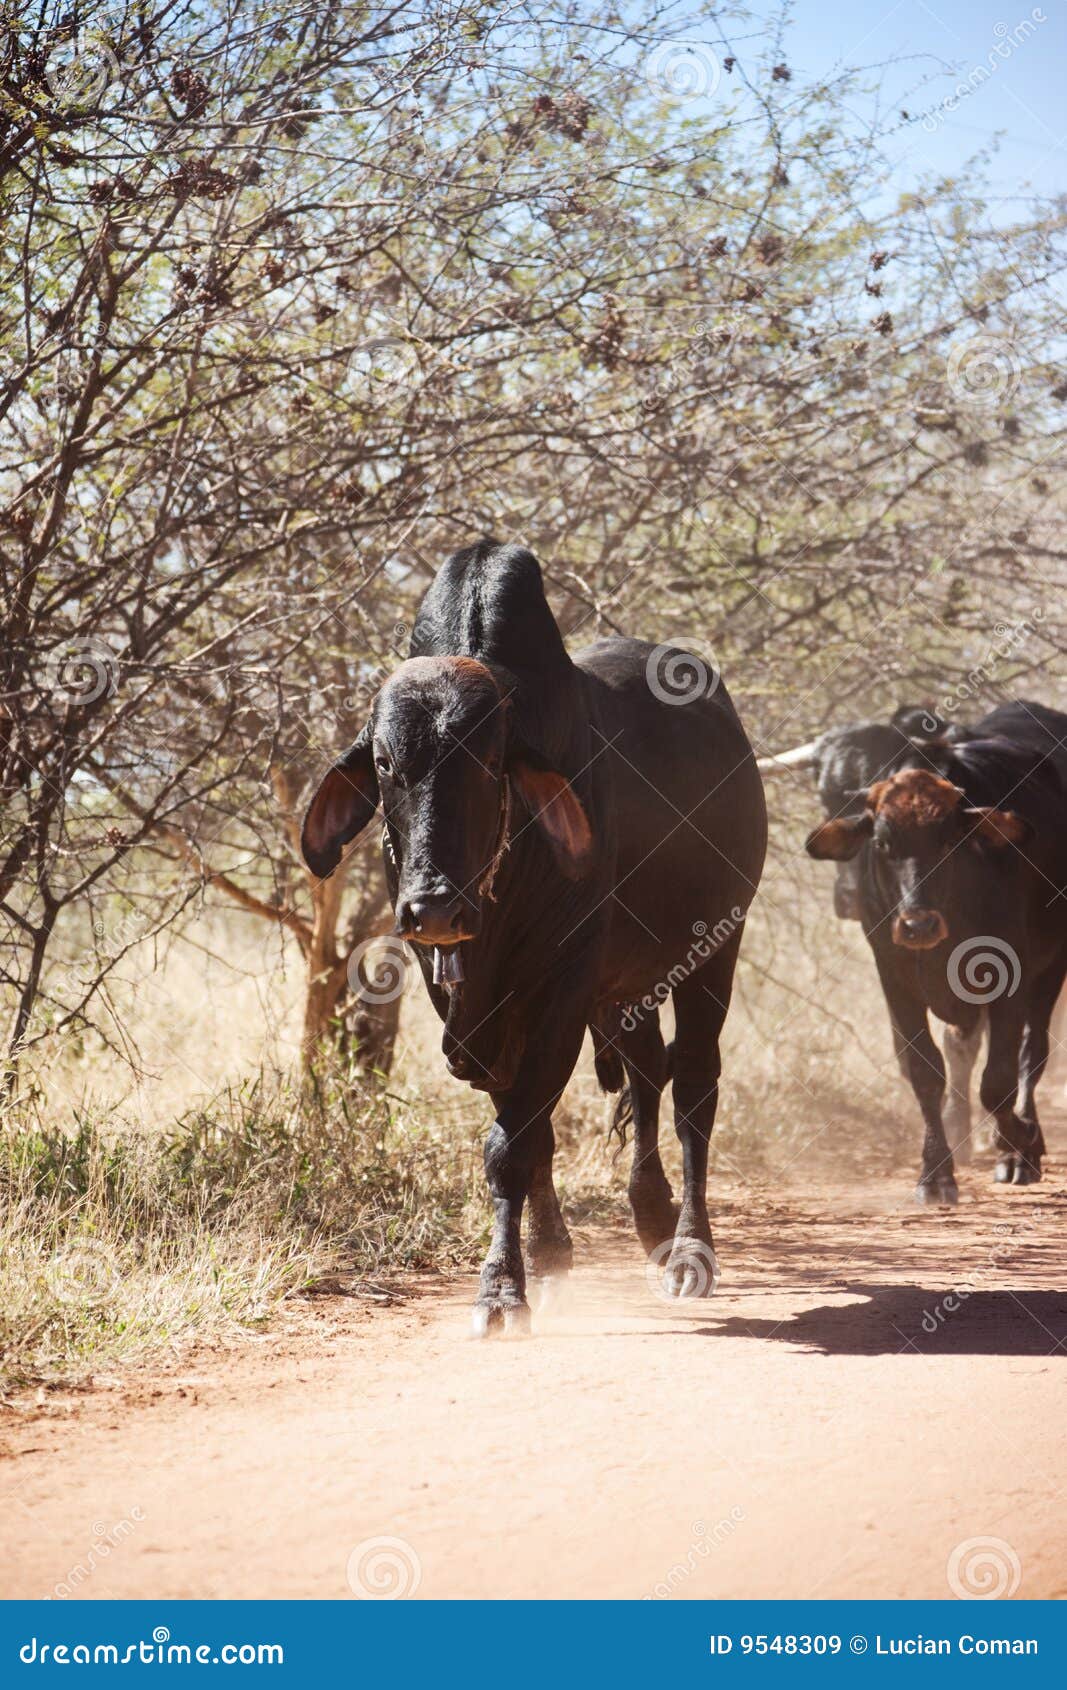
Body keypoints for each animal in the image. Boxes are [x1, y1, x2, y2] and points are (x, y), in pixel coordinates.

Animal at [301, 539, 766, 1333]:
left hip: (713, 953)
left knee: (693, 1089)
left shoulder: (559, 988)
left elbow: (511, 1146)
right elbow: (534, 1134)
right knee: (647, 1073)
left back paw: (687, 1250)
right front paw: (548, 1260)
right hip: (625, 989)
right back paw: (649, 1215)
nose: (434, 909)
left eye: (491, 760)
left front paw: (499, 1289)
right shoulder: (469, 1005)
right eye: (387, 763)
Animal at [796, 705, 1067, 1203]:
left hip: (1051, 968)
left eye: (949, 840)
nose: (918, 925)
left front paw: (1017, 1142)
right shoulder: (895, 975)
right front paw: (936, 1173)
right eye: (882, 842)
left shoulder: (1012, 976)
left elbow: (997, 1081)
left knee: (1031, 1051)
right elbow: (924, 1070)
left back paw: (1023, 1148)